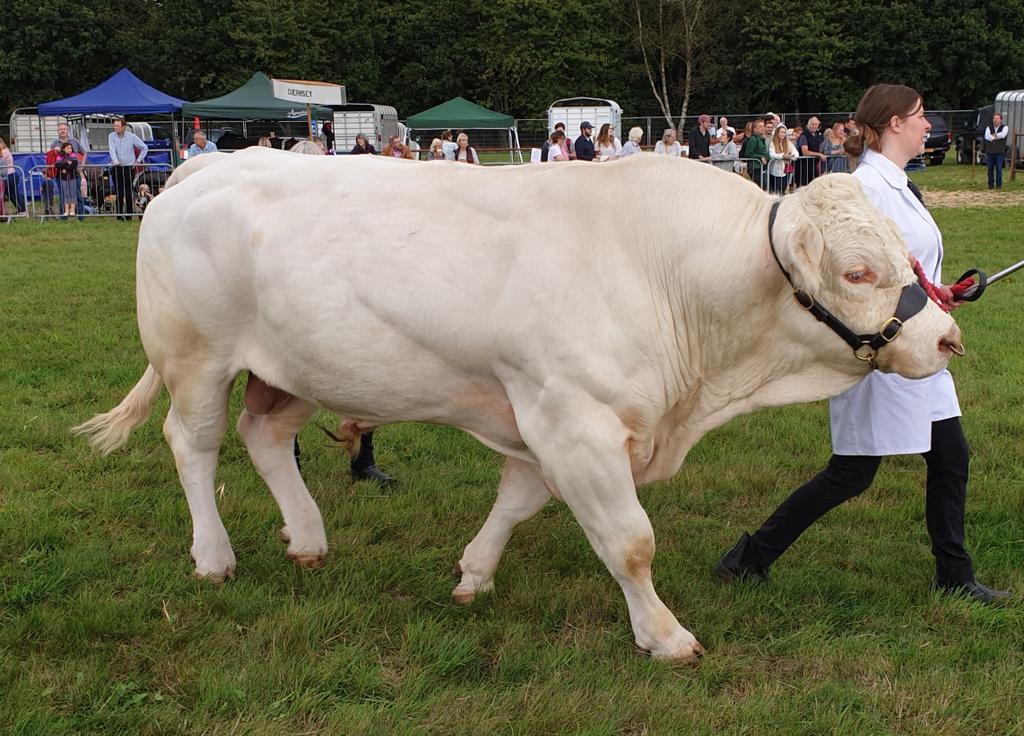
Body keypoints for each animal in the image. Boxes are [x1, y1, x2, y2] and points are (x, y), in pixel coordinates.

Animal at [73, 149, 962, 662]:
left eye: (904, 252)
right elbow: (630, 541)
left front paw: (473, 575)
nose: (949, 336)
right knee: (194, 444)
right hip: (195, 357)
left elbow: (516, 501)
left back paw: (309, 539)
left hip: (292, 367)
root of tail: (206, 165)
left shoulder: (543, 417)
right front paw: (665, 636)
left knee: (263, 435)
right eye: (856, 271)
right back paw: (214, 557)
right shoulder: (576, 419)